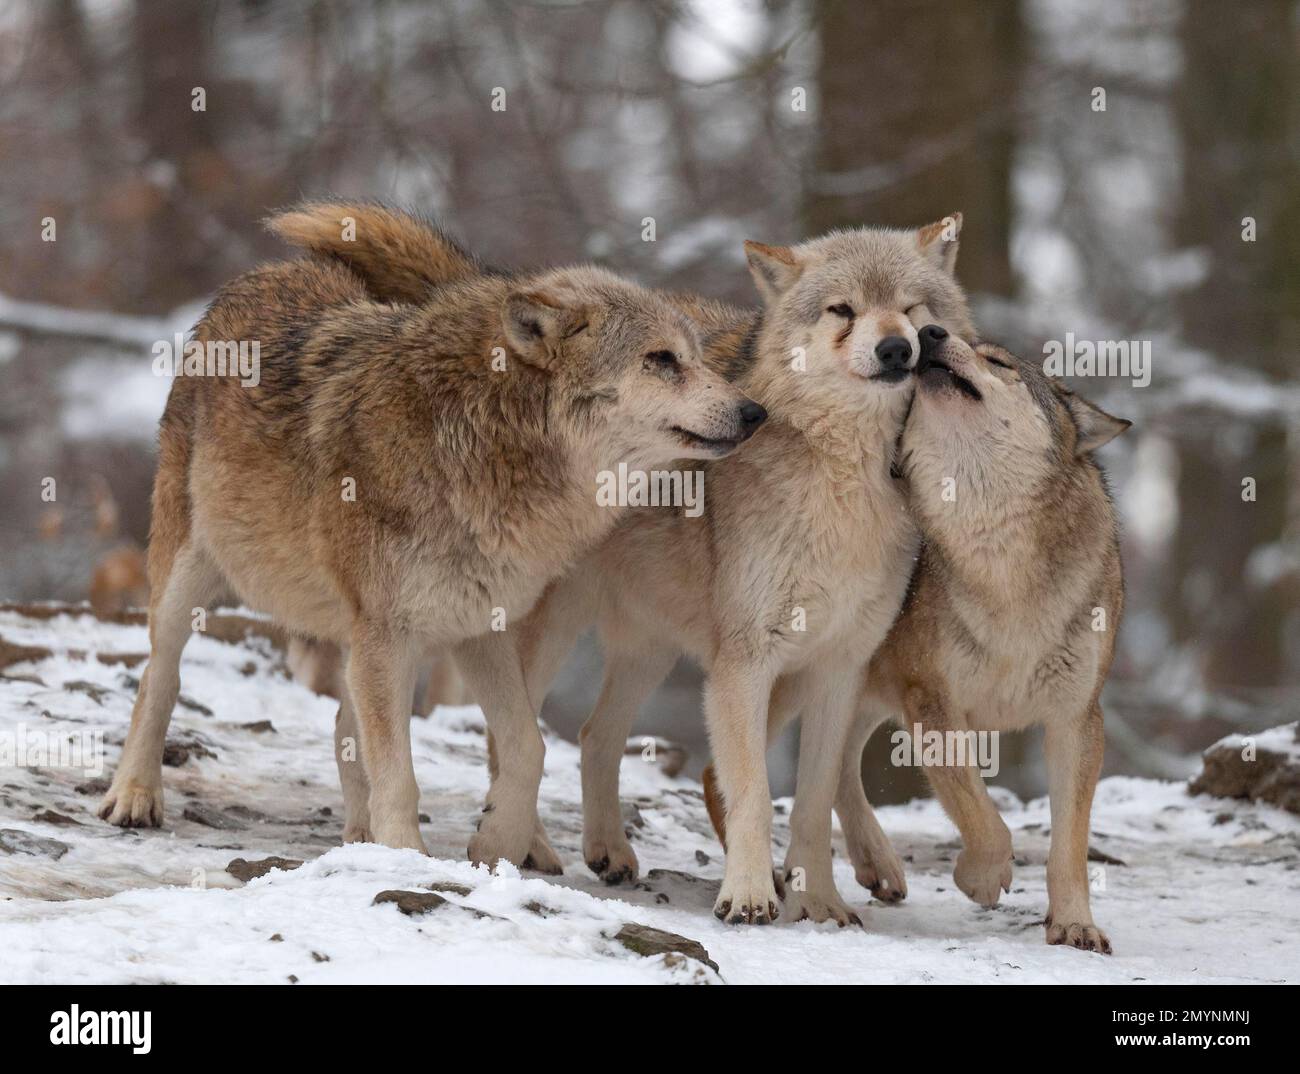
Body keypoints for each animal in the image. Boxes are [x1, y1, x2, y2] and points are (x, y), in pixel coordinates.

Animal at [97, 204, 764, 856]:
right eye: (662, 360)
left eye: (697, 355)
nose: (755, 411)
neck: (481, 439)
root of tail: (256, 276)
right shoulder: (391, 633)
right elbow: (401, 775)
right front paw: (406, 856)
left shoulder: (475, 627)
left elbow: (526, 748)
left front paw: (494, 844)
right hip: (191, 577)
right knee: (160, 675)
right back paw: (134, 794)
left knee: (343, 726)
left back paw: (357, 836)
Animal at [282, 206, 976, 919]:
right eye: (843, 309)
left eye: (912, 309)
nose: (896, 349)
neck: (844, 482)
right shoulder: (744, 665)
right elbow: (754, 795)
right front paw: (749, 897)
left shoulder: (840, 666)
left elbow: (813, 802)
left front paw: (821, 904)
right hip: (546, 633)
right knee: (510, 741)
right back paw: (524, 845)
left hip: (649, 647)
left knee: (594, 736)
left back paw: (607, 849)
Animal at [705, 329, 1130, 950]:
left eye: (997, 361)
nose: (930, 334)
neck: (1002, 568)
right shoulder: (932, 702)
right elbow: (982, 816)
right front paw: (981, 878)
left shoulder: (1077, 718)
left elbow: (1068, 848)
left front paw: (1076, 924)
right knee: (723, 772)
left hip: (862, 689)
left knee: (839, 768)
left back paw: (874, 865)